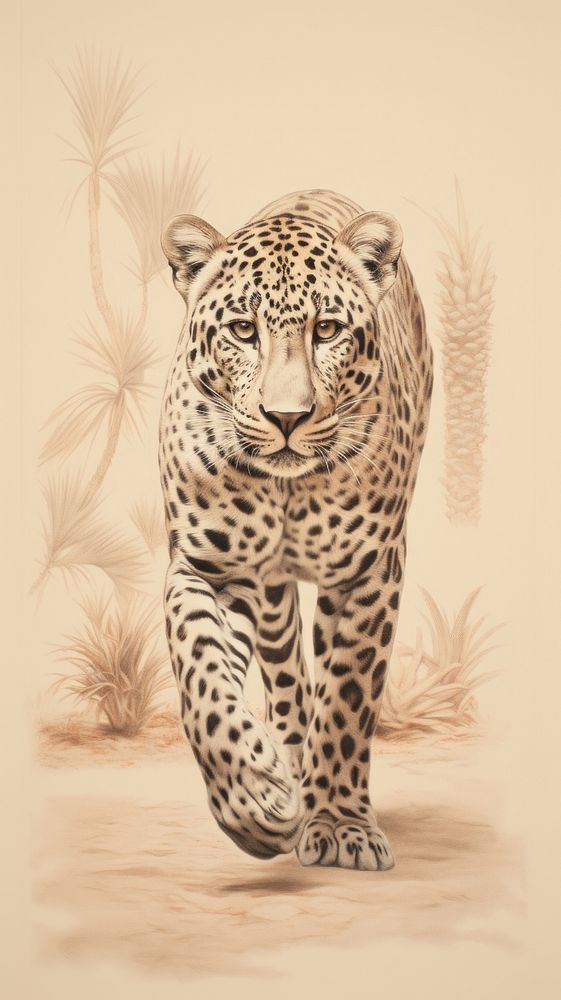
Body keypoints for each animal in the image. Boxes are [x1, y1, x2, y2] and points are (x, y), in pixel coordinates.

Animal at [159, 188, 433, 871]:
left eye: (327, 330)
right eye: (243, 330)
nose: (286, 417)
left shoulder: (369, 572)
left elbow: (348, 701)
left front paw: (340, 825)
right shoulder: (208, 567)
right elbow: (201, 669)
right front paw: (252, 796)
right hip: (270, 598)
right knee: (286, 679)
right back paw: (285, 768)